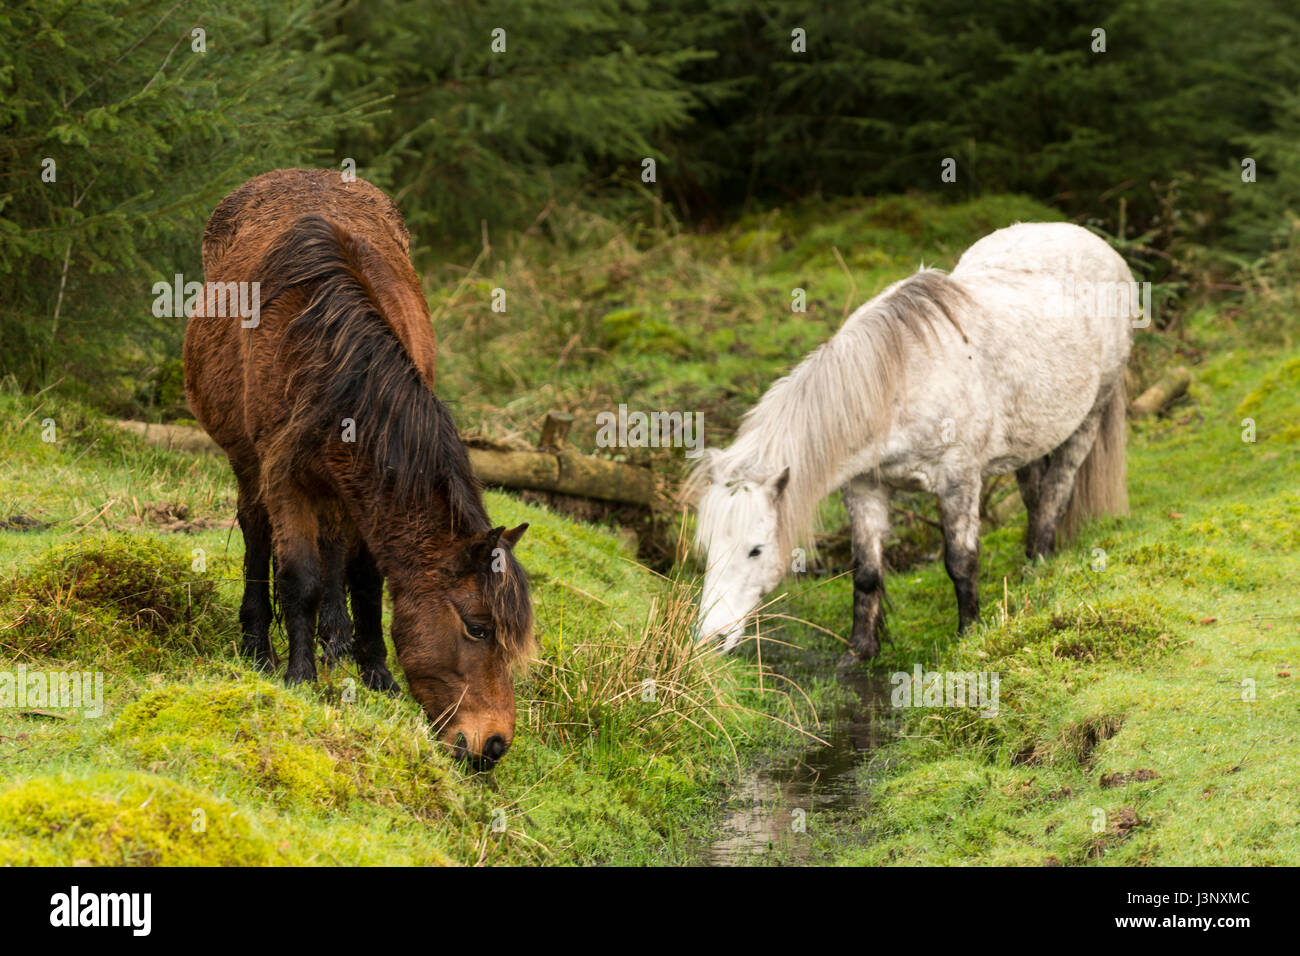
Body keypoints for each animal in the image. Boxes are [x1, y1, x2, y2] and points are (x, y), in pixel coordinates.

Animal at [184, 168, 533, 769]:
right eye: (478, 628)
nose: (491, 745)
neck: (332, 355)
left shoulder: (365, 486)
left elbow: (366, 578)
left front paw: (374, 671)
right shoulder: (286, 479)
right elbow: (298, 577)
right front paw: (298, 675)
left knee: (335, 547)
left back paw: (336, 638)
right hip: (249, 464)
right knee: (257, 532)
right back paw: (259, 643)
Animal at [691, 222, 1134, 664]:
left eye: (756, 550)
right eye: (708, 546)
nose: (710, 640)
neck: (898, 383)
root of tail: (1092, 241)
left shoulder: (959, 480)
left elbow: (961, 562)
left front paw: (968, 635)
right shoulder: (864, 487)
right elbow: (866, 571)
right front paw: (860, 652)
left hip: (1089, 417)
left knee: (1057, 490)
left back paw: (1036, 566)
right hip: (1031, 437)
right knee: (1035, 492)